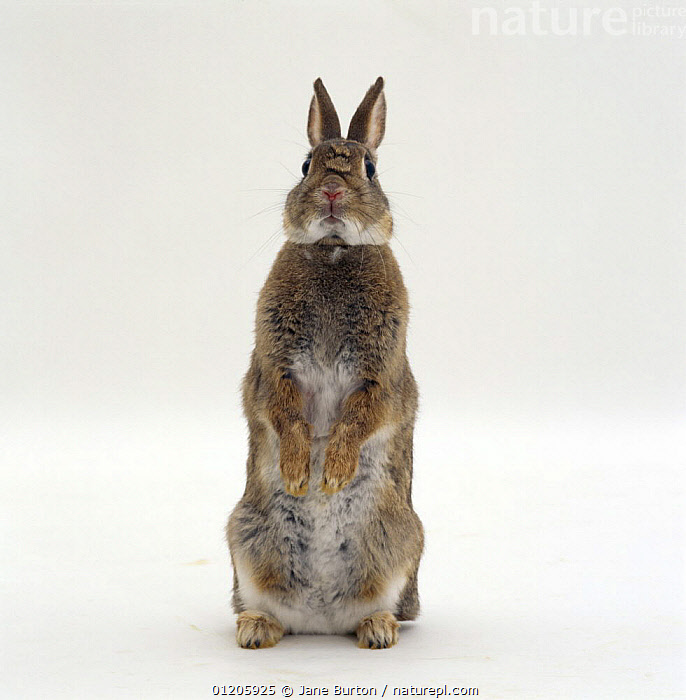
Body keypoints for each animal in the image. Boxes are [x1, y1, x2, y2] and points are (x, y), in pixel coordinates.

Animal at [226, 77, 423, 650]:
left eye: (370, 168)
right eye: (306, 165)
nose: (332, 192)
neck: (335, 251)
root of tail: (320, 619)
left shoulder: (383, 375)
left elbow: (360, 417)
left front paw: (332, 473)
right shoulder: (272, 368)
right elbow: (286, 411)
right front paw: (299, 474)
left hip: (402, 539)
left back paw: (377, 629)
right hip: (244, 535)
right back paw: (256, 629)